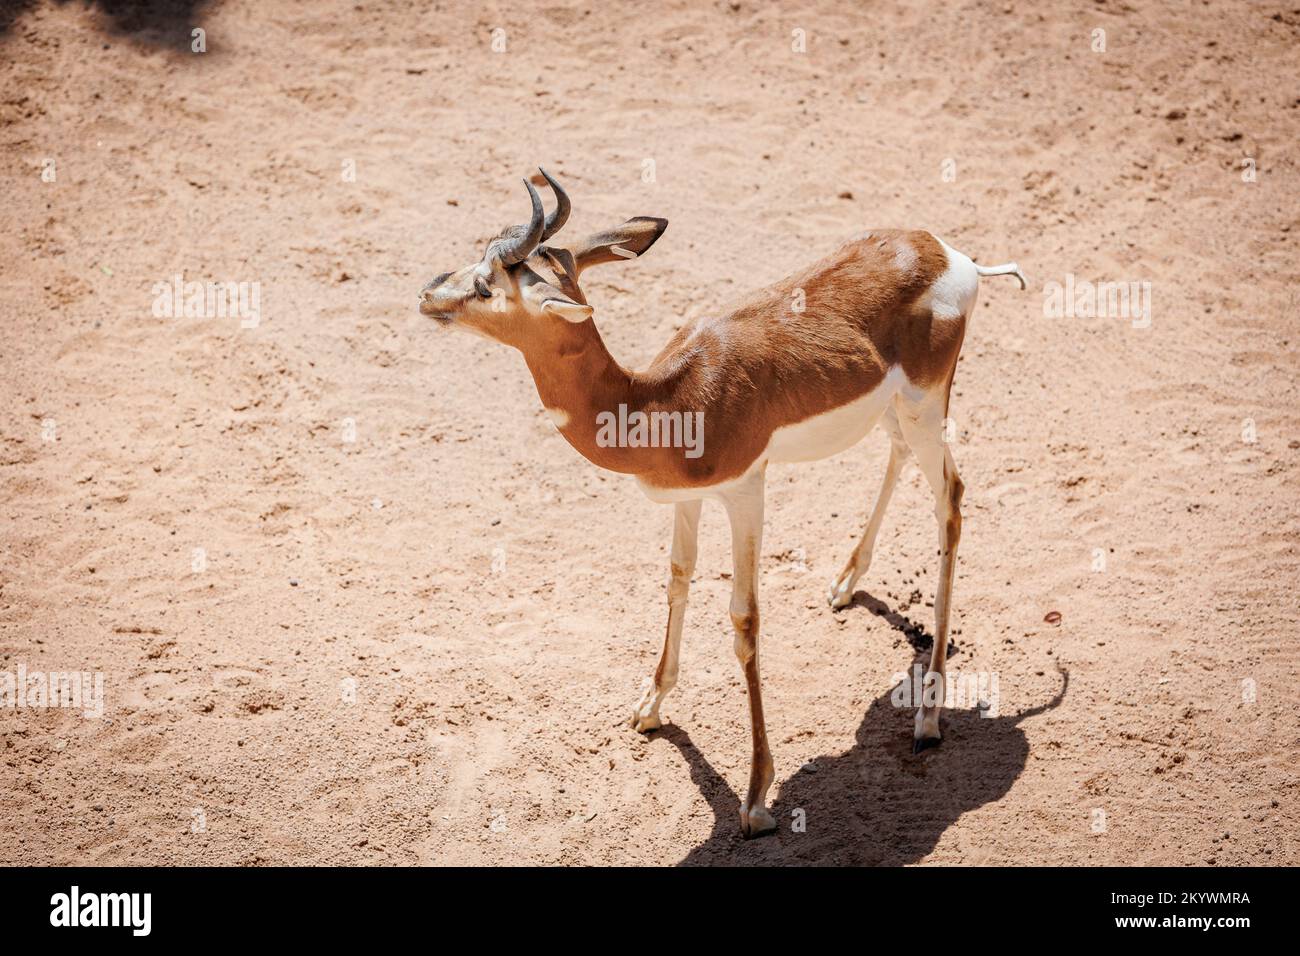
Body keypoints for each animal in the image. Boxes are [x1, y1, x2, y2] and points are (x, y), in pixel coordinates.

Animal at [419, 170, 1025, 837]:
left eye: (486, 284)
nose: (428, 294)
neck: (661, 402)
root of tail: (948, 254)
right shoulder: (689, 500)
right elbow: (678, 578)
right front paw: (650, 707)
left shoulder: (745, 490)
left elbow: (745, 619)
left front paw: (756, 799)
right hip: (897, 412)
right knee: (899, 459)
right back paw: (845, 583)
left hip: (925, 404)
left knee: (951, 499)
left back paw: (929, 718)